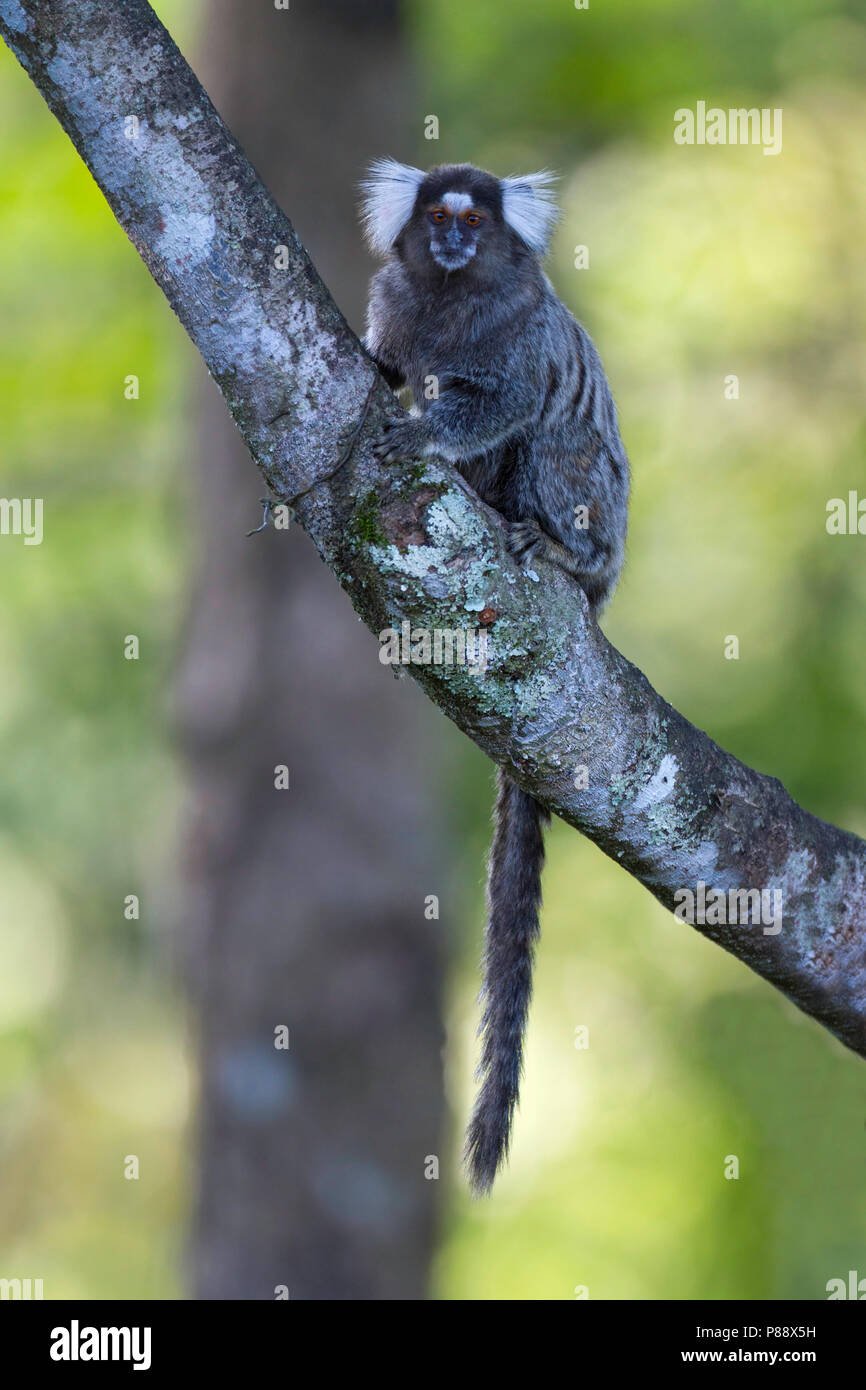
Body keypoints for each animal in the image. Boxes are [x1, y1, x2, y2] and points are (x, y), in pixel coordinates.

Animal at [360, 159, 630, 1193]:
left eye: (474, 223)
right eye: (439, 216)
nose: (450, 243)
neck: (448, 305)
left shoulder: (515, 335)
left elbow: (509, 400)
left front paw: (425, 434)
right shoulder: (391, 304)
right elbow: (394, 361)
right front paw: (394, 384)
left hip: (598, 517)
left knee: (560, 442)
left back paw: (557, 551)